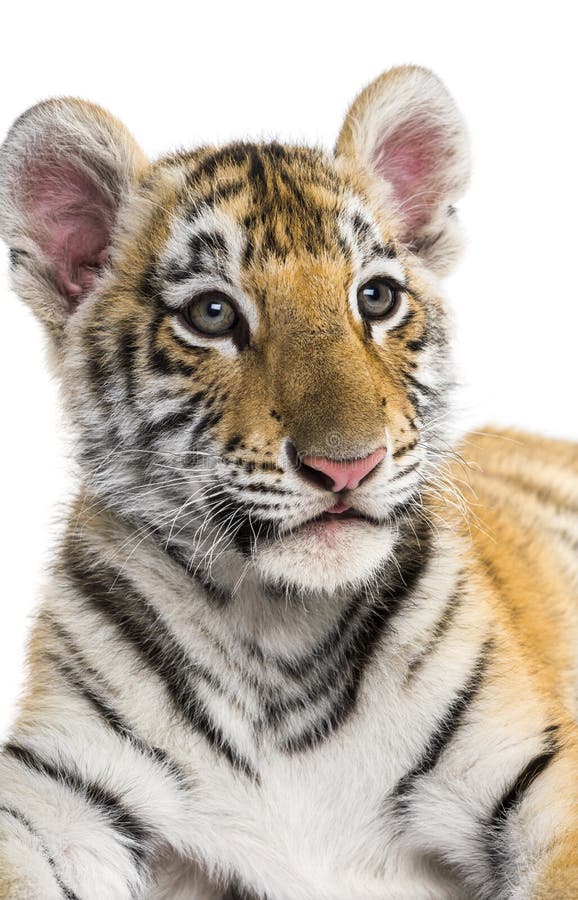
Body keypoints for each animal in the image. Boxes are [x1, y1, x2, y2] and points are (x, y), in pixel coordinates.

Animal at [0, 64, 576, 900]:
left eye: (375, 297)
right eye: (212, 313)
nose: (348, 464)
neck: (279, 640)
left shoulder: (538, 777)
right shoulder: (54, 792)